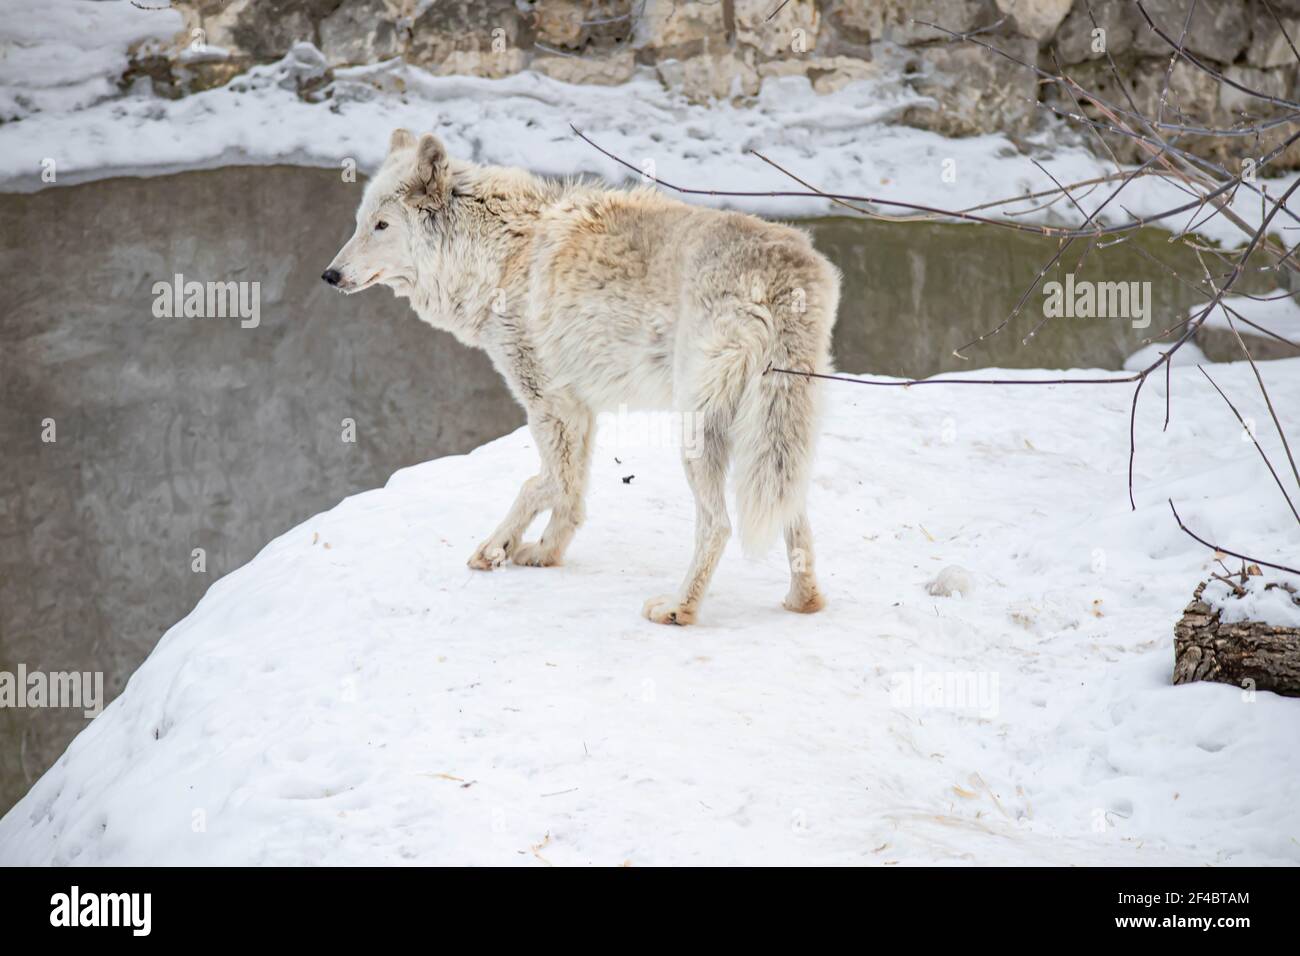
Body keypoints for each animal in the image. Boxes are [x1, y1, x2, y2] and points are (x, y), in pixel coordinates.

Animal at [324, 129, 840, 625]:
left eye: (381, 226)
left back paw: (678, 609)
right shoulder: (580, 411)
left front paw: (496, 548)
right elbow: (567, 492)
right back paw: (803, 601)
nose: (329, 275)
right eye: (359, 223)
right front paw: (544, 553)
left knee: (719, 525)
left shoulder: (550, 404)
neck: (500, 255)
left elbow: (545, 483)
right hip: (775, 433)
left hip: (700, 430)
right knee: (789, 513)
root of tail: (785, 272)